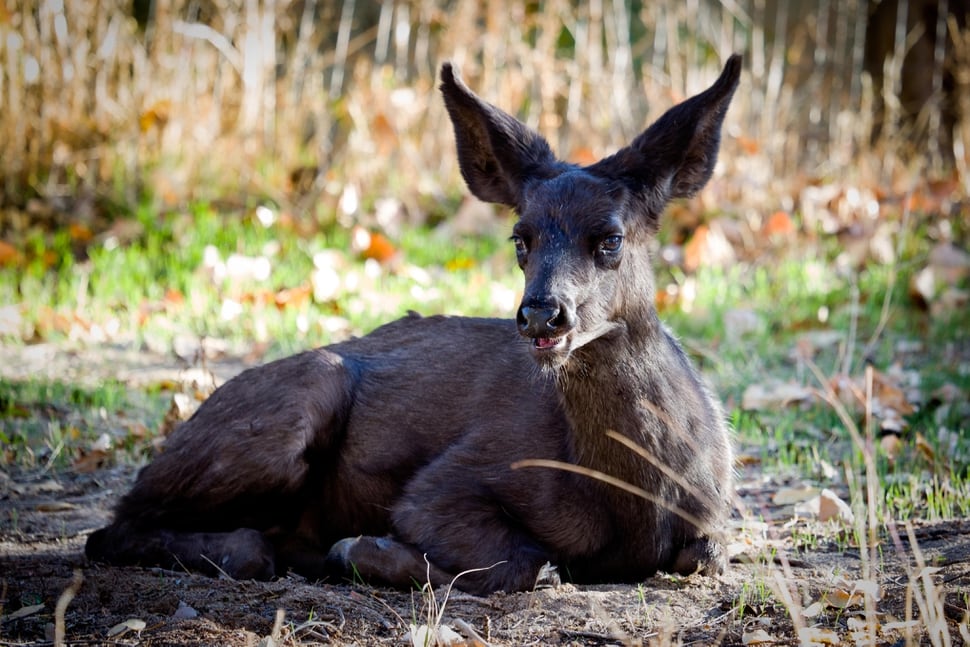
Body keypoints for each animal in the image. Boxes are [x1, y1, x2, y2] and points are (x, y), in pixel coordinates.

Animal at [85, 55, 741, 596]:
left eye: (610, 239)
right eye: (520, 238)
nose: (541, 313)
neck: (637, 497)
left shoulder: (714, 522)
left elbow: (704, 553)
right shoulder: (450, 482)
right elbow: (523, 563)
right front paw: (364, 549)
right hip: (297, 401)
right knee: (111, 530)